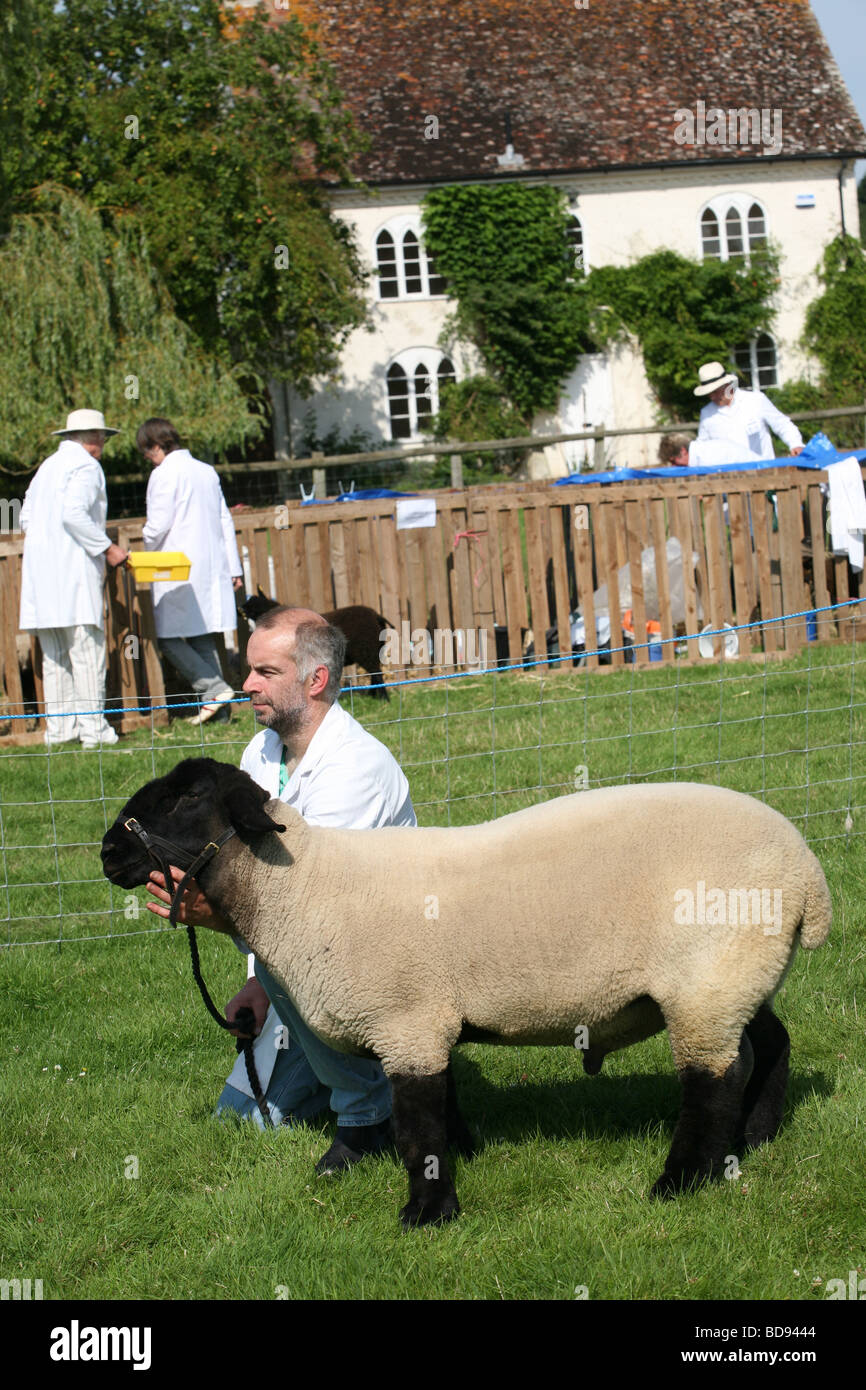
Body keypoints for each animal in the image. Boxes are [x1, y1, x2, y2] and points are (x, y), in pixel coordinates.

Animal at [101, 758, 831, 1229]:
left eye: (185, 799)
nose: (108, 852)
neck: (303, 888)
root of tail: (808, 875)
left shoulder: (406, 1020)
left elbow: (417, 1123)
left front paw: (427, 1213)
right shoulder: (426, 1019)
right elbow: (442, 1103)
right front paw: (466, 1155)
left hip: (705, 978)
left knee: (715, 1078)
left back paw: (681, 1182)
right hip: (737, 973)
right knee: (769, 1044)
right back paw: (757, 1136)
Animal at [242, 591, 391, 699]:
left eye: (253, 608)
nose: (240, 608)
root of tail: (376, 615)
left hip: (367, 649)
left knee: (377, 673)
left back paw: (383, 698)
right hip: (374, 649)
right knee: (375, 674)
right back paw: (373, 695)